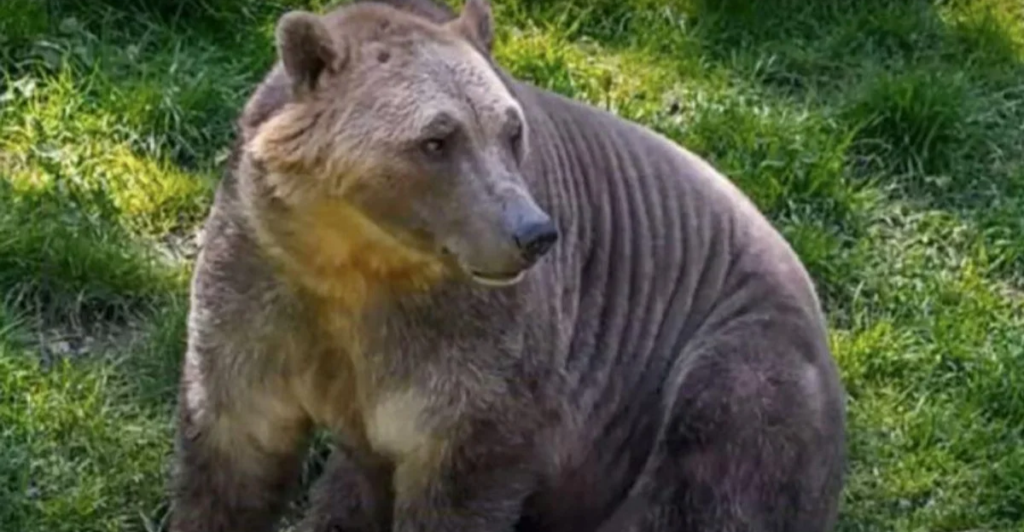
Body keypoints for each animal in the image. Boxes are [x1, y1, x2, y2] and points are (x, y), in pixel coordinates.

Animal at [167, 1, 847, 531]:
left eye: (510, 130)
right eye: (437, 139)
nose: (533, 233)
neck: (356, 260)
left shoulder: (477, 351)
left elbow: (467, 470)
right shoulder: (263, 283)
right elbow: (234, 448)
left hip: (738, 355)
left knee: (713, 464)